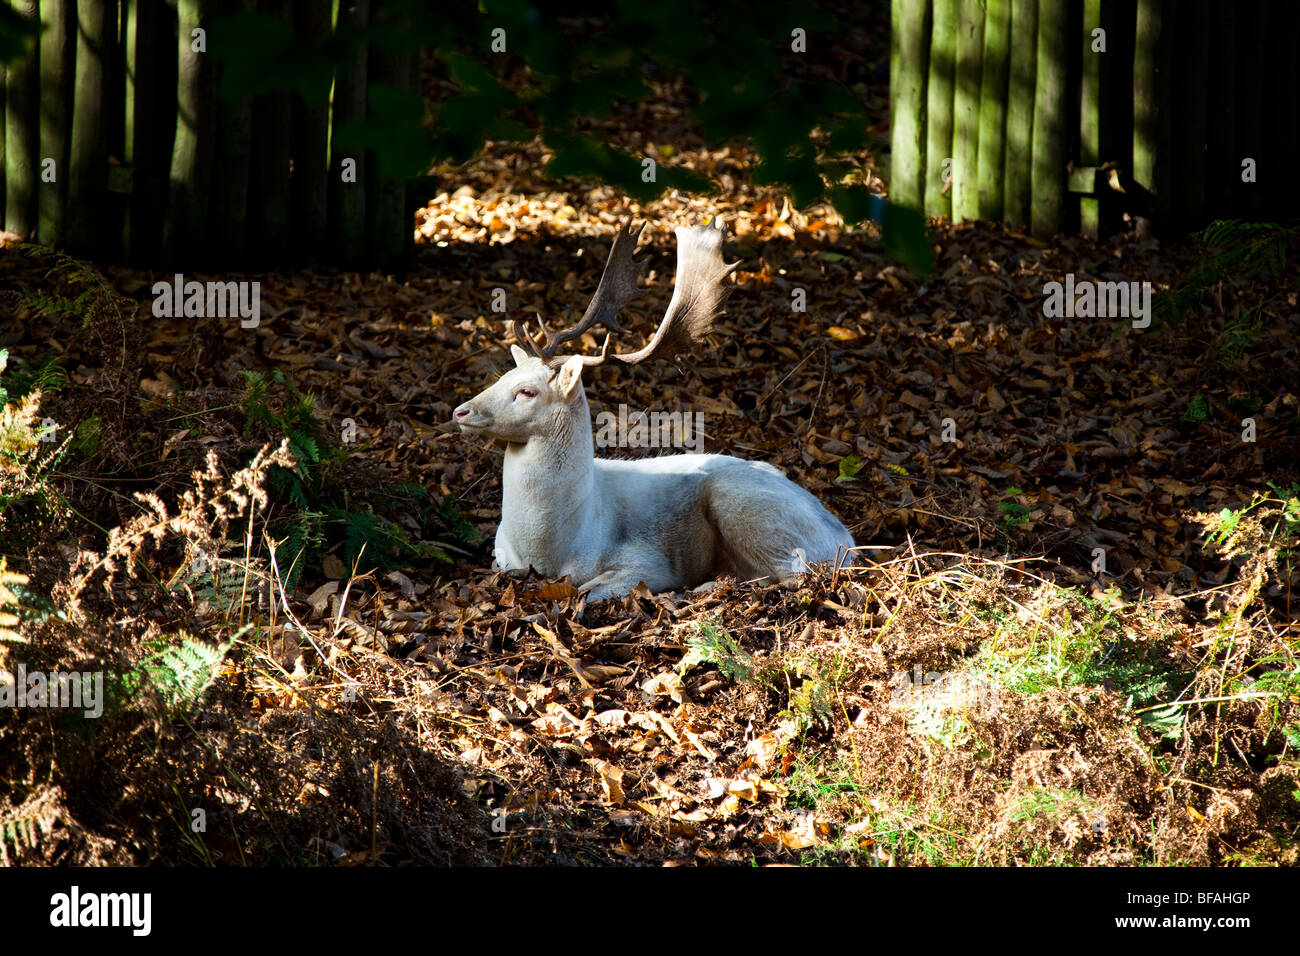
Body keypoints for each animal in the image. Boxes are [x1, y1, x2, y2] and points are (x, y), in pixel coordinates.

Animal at [452, 220, 855, 600]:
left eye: (527, 391)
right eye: (504, 376)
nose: (460, 412)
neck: (551, 548)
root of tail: (846, 540)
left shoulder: (646, 561)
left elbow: (589, 590)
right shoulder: (499, 556)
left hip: (746, 507)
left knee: (793, 572)